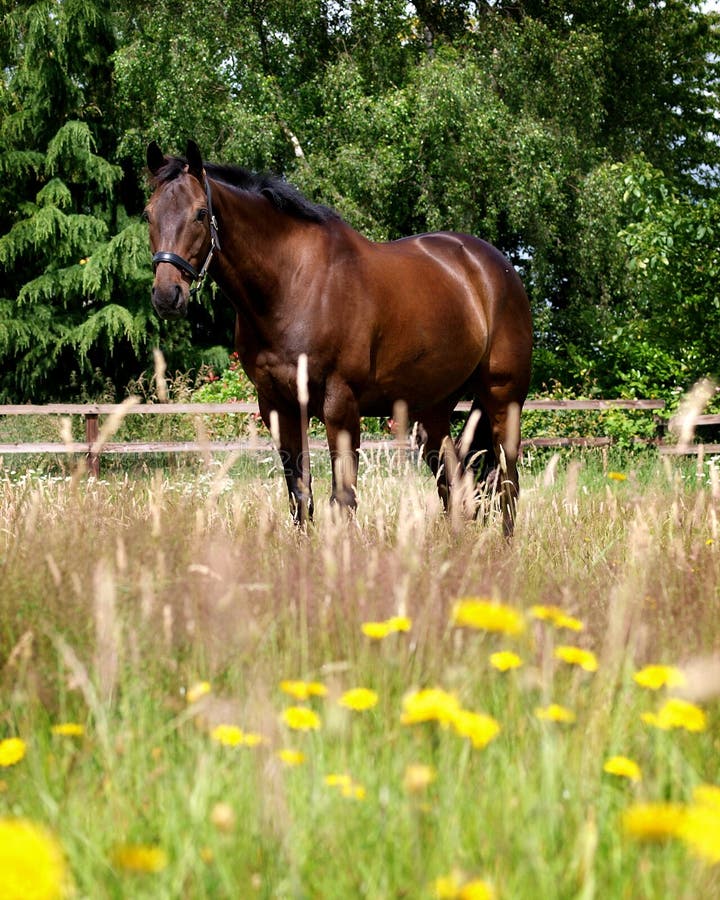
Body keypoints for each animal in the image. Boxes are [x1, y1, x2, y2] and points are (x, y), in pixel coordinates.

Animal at [145, 140, 532, 535]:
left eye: (200, 213)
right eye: (148, 214)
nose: (167, 295)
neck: (293, 283)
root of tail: (495, 267)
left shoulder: (340, 405)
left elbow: (343, 499)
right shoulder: (278, 407)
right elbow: (300, 497)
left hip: (504, 398)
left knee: (507, 482)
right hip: (433, 408)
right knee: (454, 484)